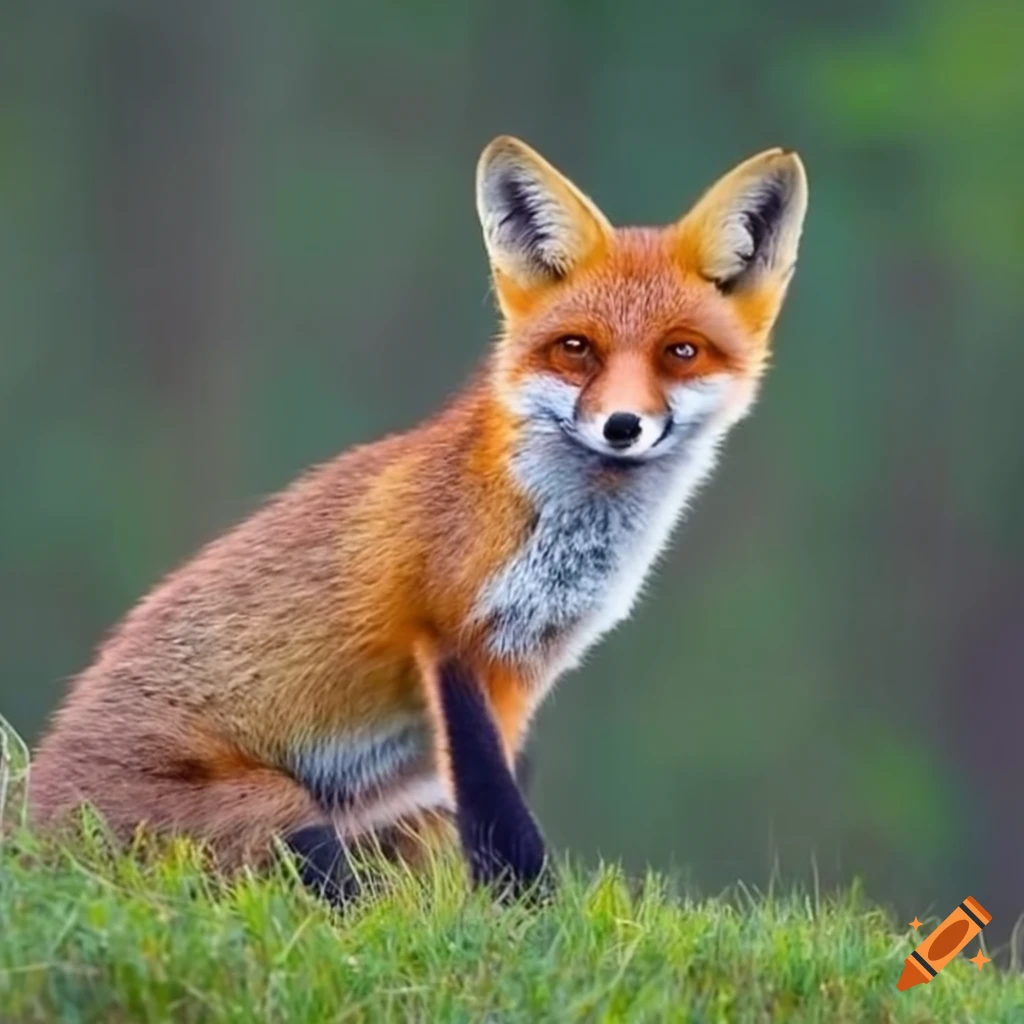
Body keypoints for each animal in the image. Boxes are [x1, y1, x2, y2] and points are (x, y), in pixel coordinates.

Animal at [29, 136, 808, 902]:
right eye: (576, 348)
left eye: (680, 351)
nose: (622, 427)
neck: (558, 534)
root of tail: (30, 812)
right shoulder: (451, 634)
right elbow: (499, 813)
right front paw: (526, 915)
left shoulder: (522, 670)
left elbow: (492, 803)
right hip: (282, 809)